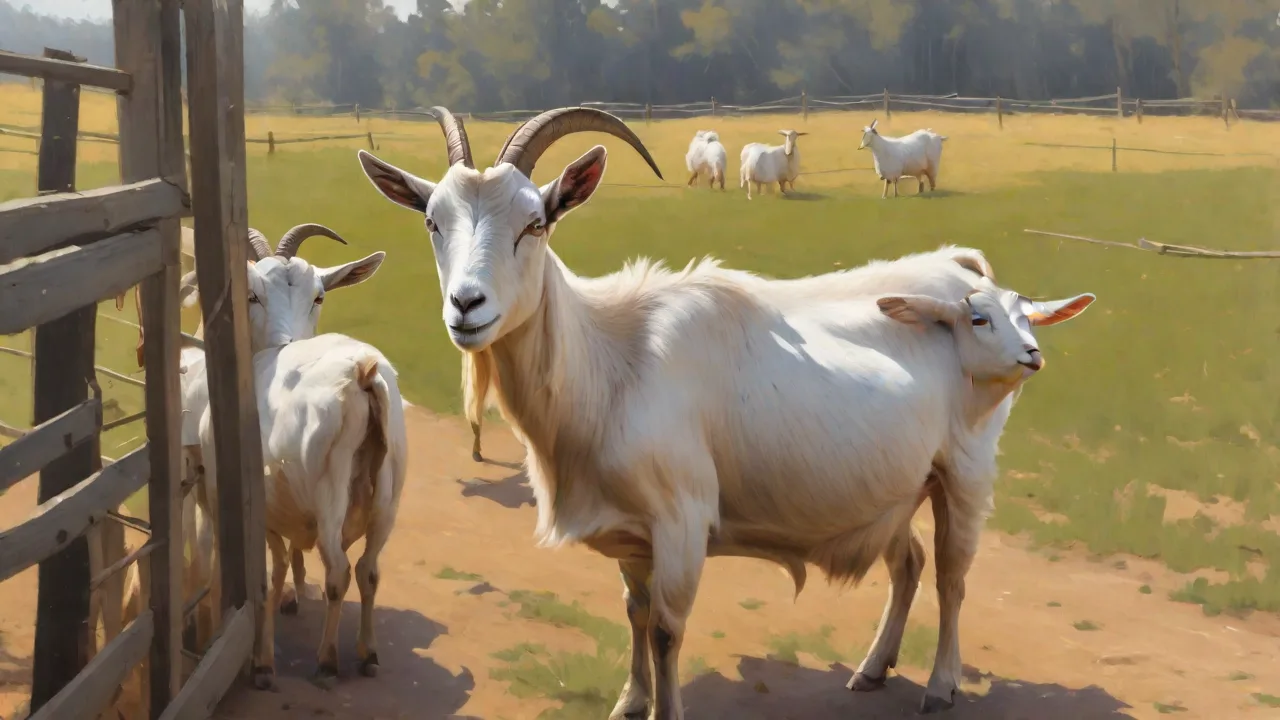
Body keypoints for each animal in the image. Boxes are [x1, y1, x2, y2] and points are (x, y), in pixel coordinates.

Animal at [358, 105, 1096, 719]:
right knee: (909, 564)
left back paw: (940, 687)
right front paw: (629, 702)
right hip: (898, 484)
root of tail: (961, 272)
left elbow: (665, 628)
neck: (612, 362)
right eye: (433, 221)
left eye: (536, 222)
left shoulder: (681, 517)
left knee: (951, 574)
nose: (467, 306)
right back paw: (872, 669)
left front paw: (663, 708)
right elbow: (633, 610)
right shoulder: (633, 528)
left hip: (965, 466)